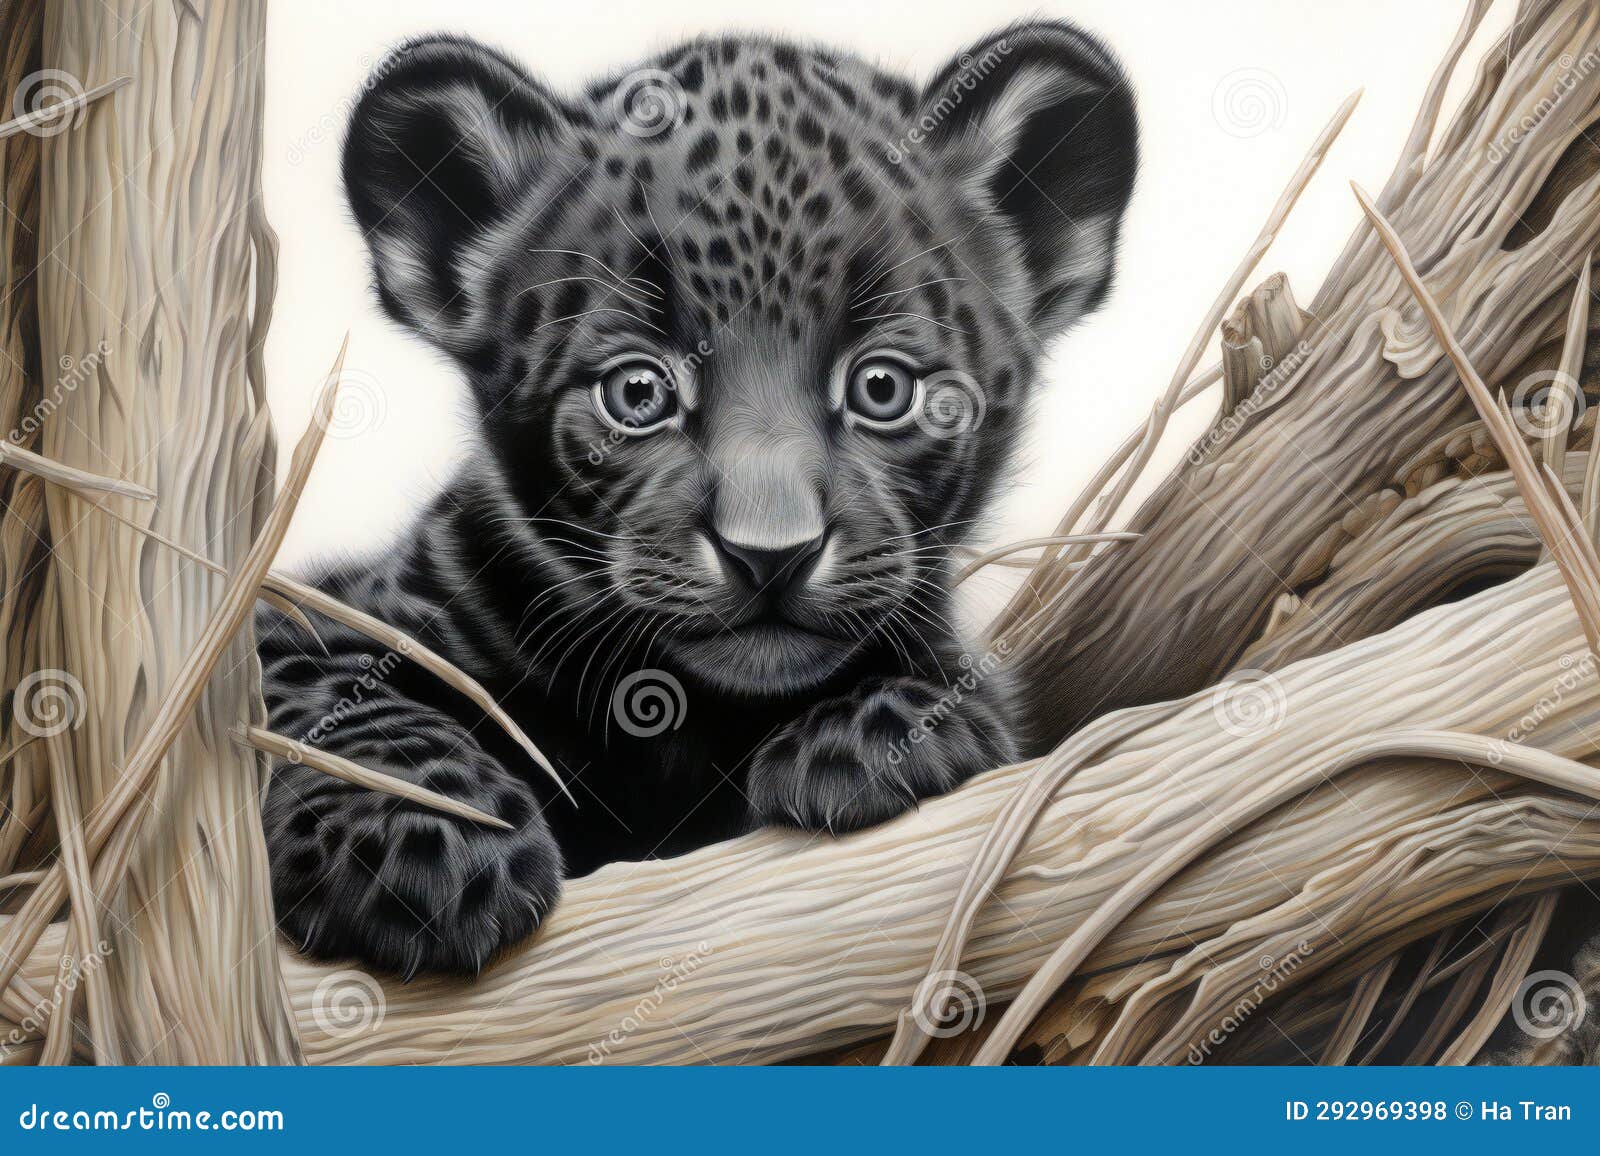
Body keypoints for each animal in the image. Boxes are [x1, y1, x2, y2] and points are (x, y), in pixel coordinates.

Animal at [259, 20, 1138, 977]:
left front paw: (874, 735)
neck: (683, 725)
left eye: (883, 388)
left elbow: (965, 696)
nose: (770, 557)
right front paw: (428, 843)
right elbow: (331, 693)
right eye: (637, 392)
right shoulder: (335, 608)